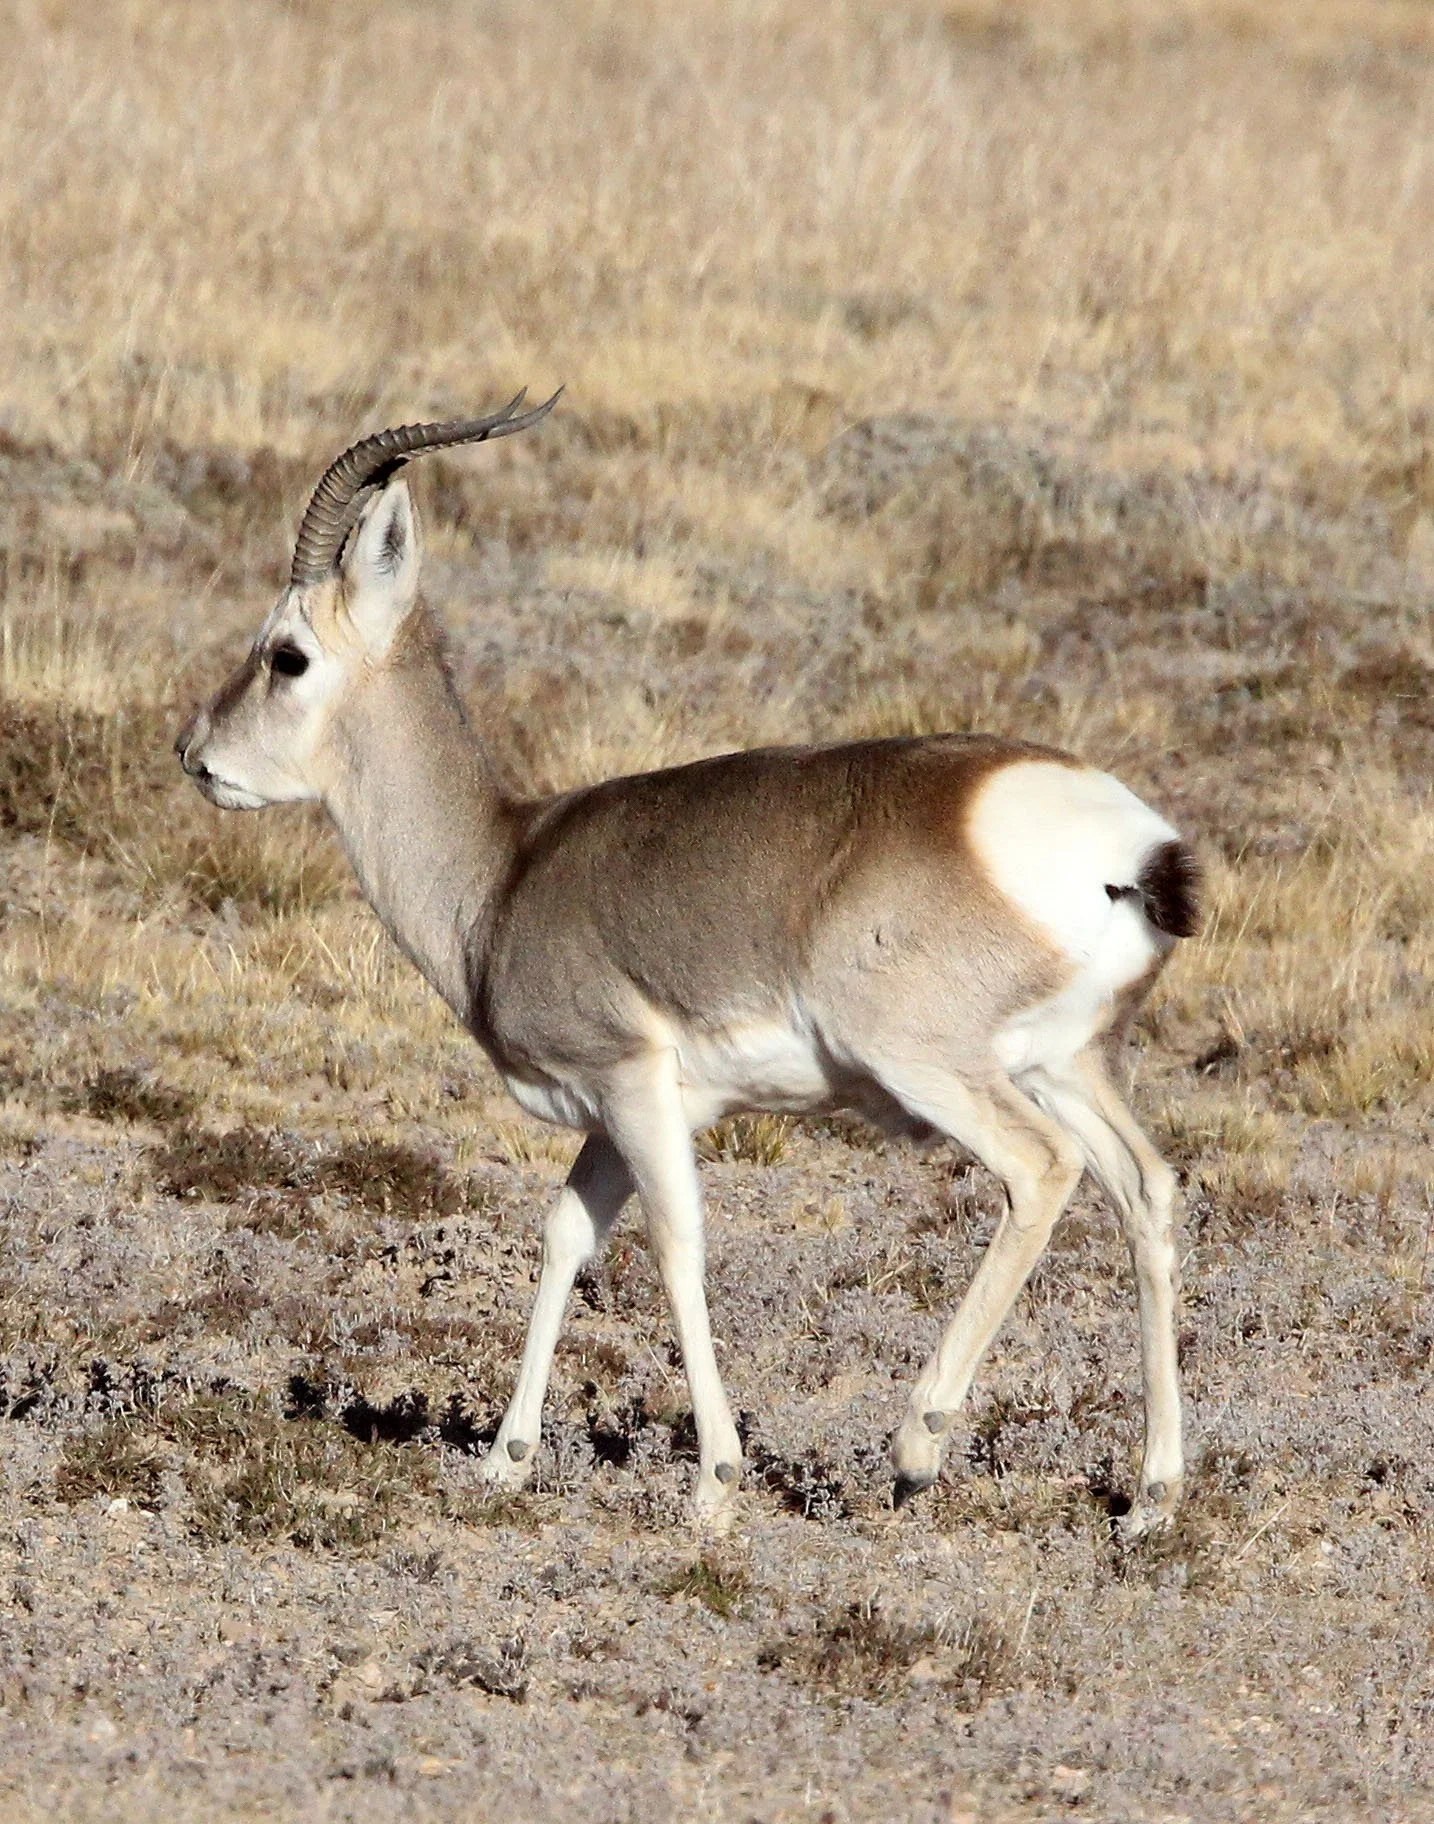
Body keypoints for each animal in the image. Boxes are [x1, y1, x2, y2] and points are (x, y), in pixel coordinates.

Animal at [176, 391, 1200, 1532]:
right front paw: (506, 1460)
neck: (504, 871)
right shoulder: (618, 1108)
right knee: (1147, 1190)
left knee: (1041, 1172)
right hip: (1068, 1065)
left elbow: (676, 1242)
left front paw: (714, 1478)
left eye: (287, 655)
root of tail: (1129, 845)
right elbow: (564, 1235)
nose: (197, 756)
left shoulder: (630, 1080)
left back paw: (915, 1447)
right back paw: (1151, 1494)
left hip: (935, 1069)